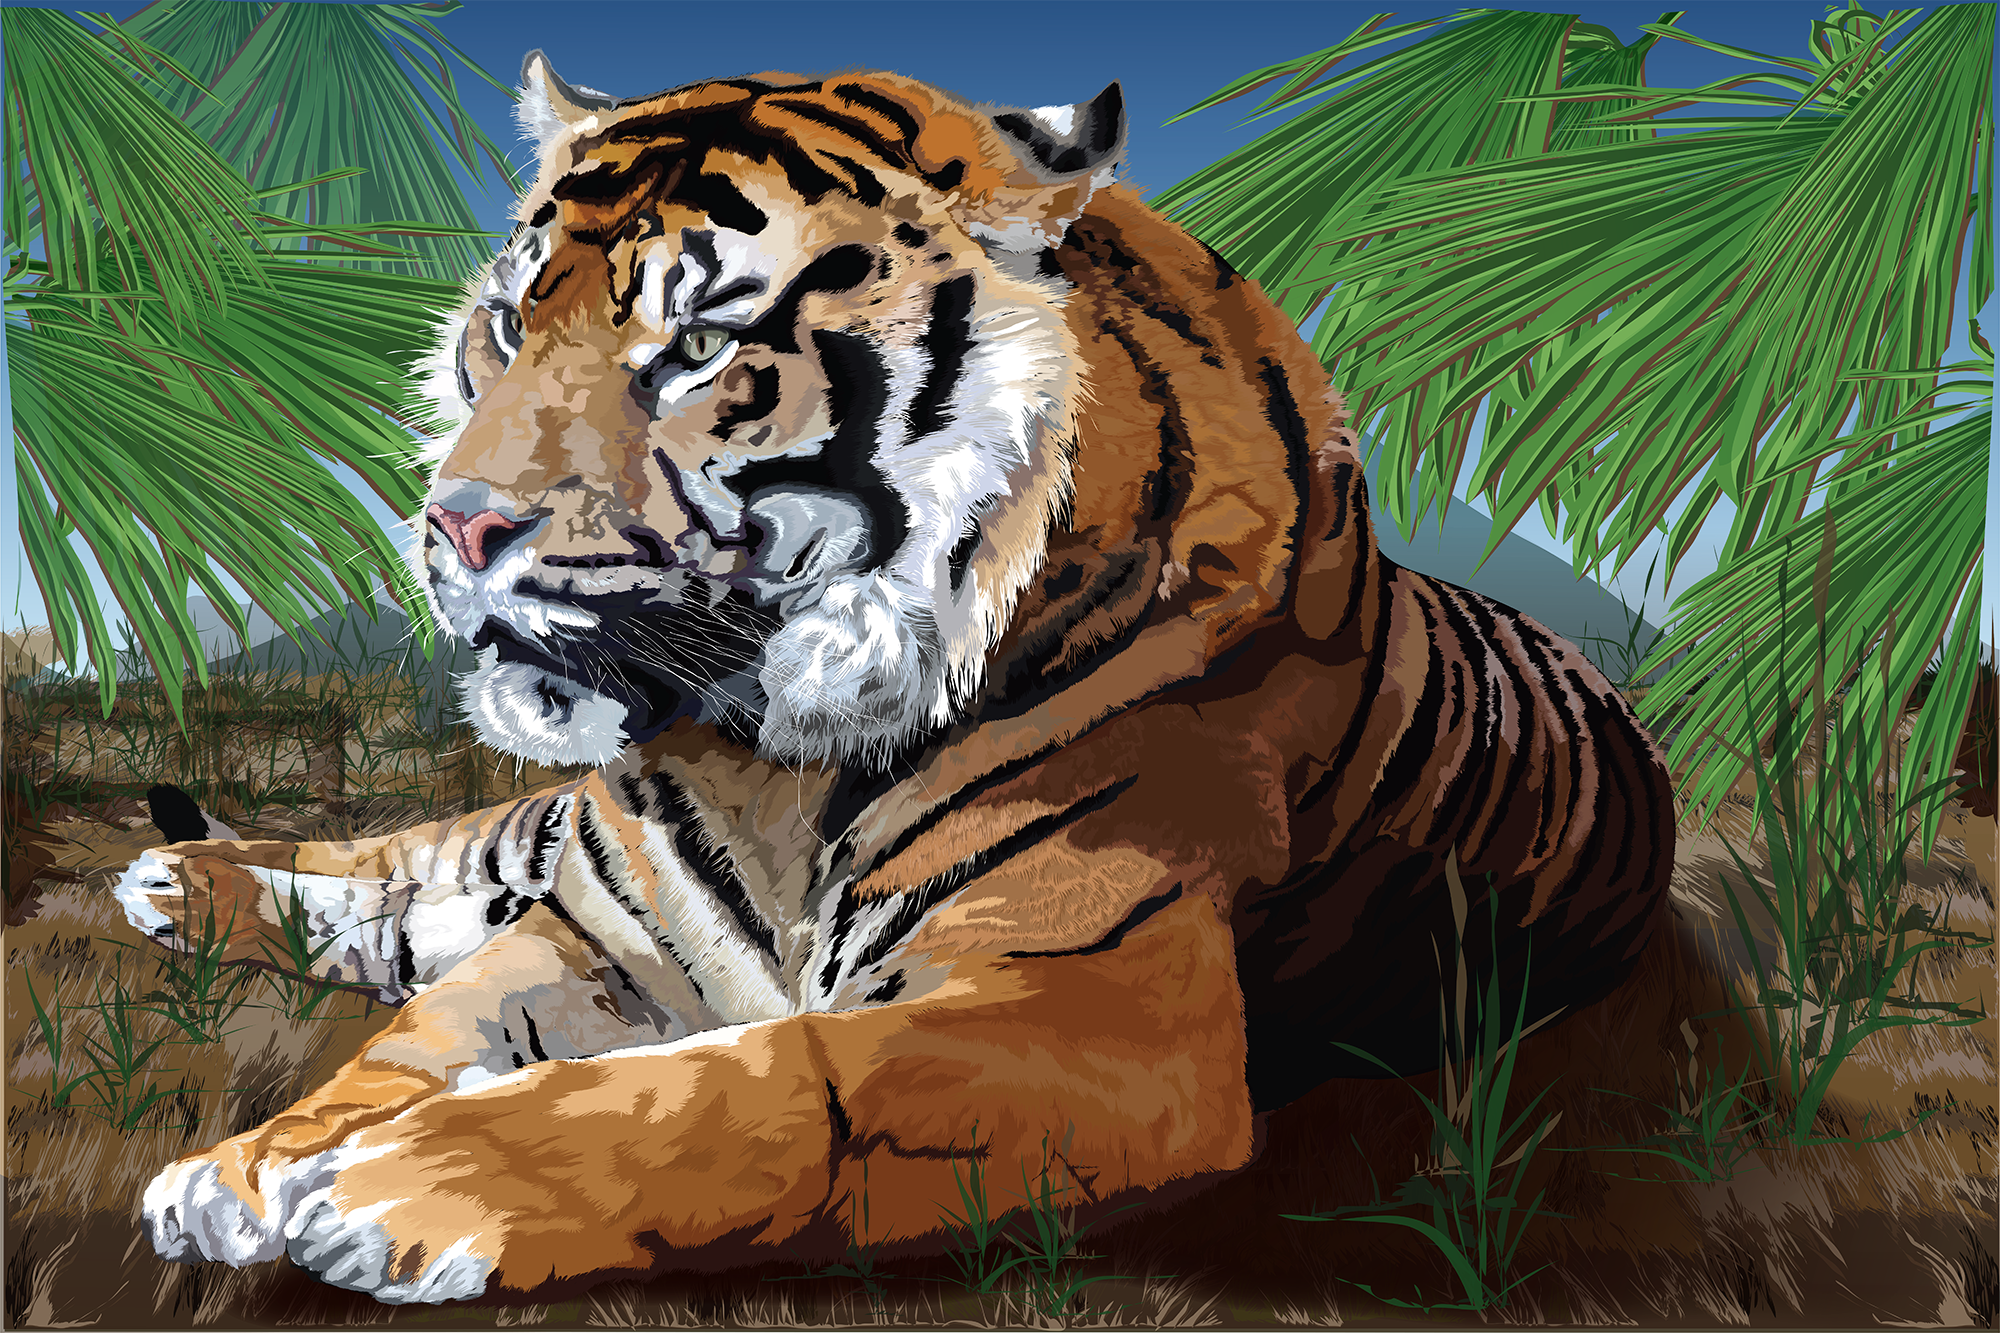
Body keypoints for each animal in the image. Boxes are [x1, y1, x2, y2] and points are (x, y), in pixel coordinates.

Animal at [112, 52, 1675, 1306]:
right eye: (507, 326)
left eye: (696, 346)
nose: (454, 528)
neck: (755, 754)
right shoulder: (593, 936)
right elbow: (409, 1039)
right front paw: (251, 1165)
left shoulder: (1094, 1012)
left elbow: (762, 1084)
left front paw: (401, 1187)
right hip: (546, 843)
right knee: (412, 872)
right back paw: (176, 882)